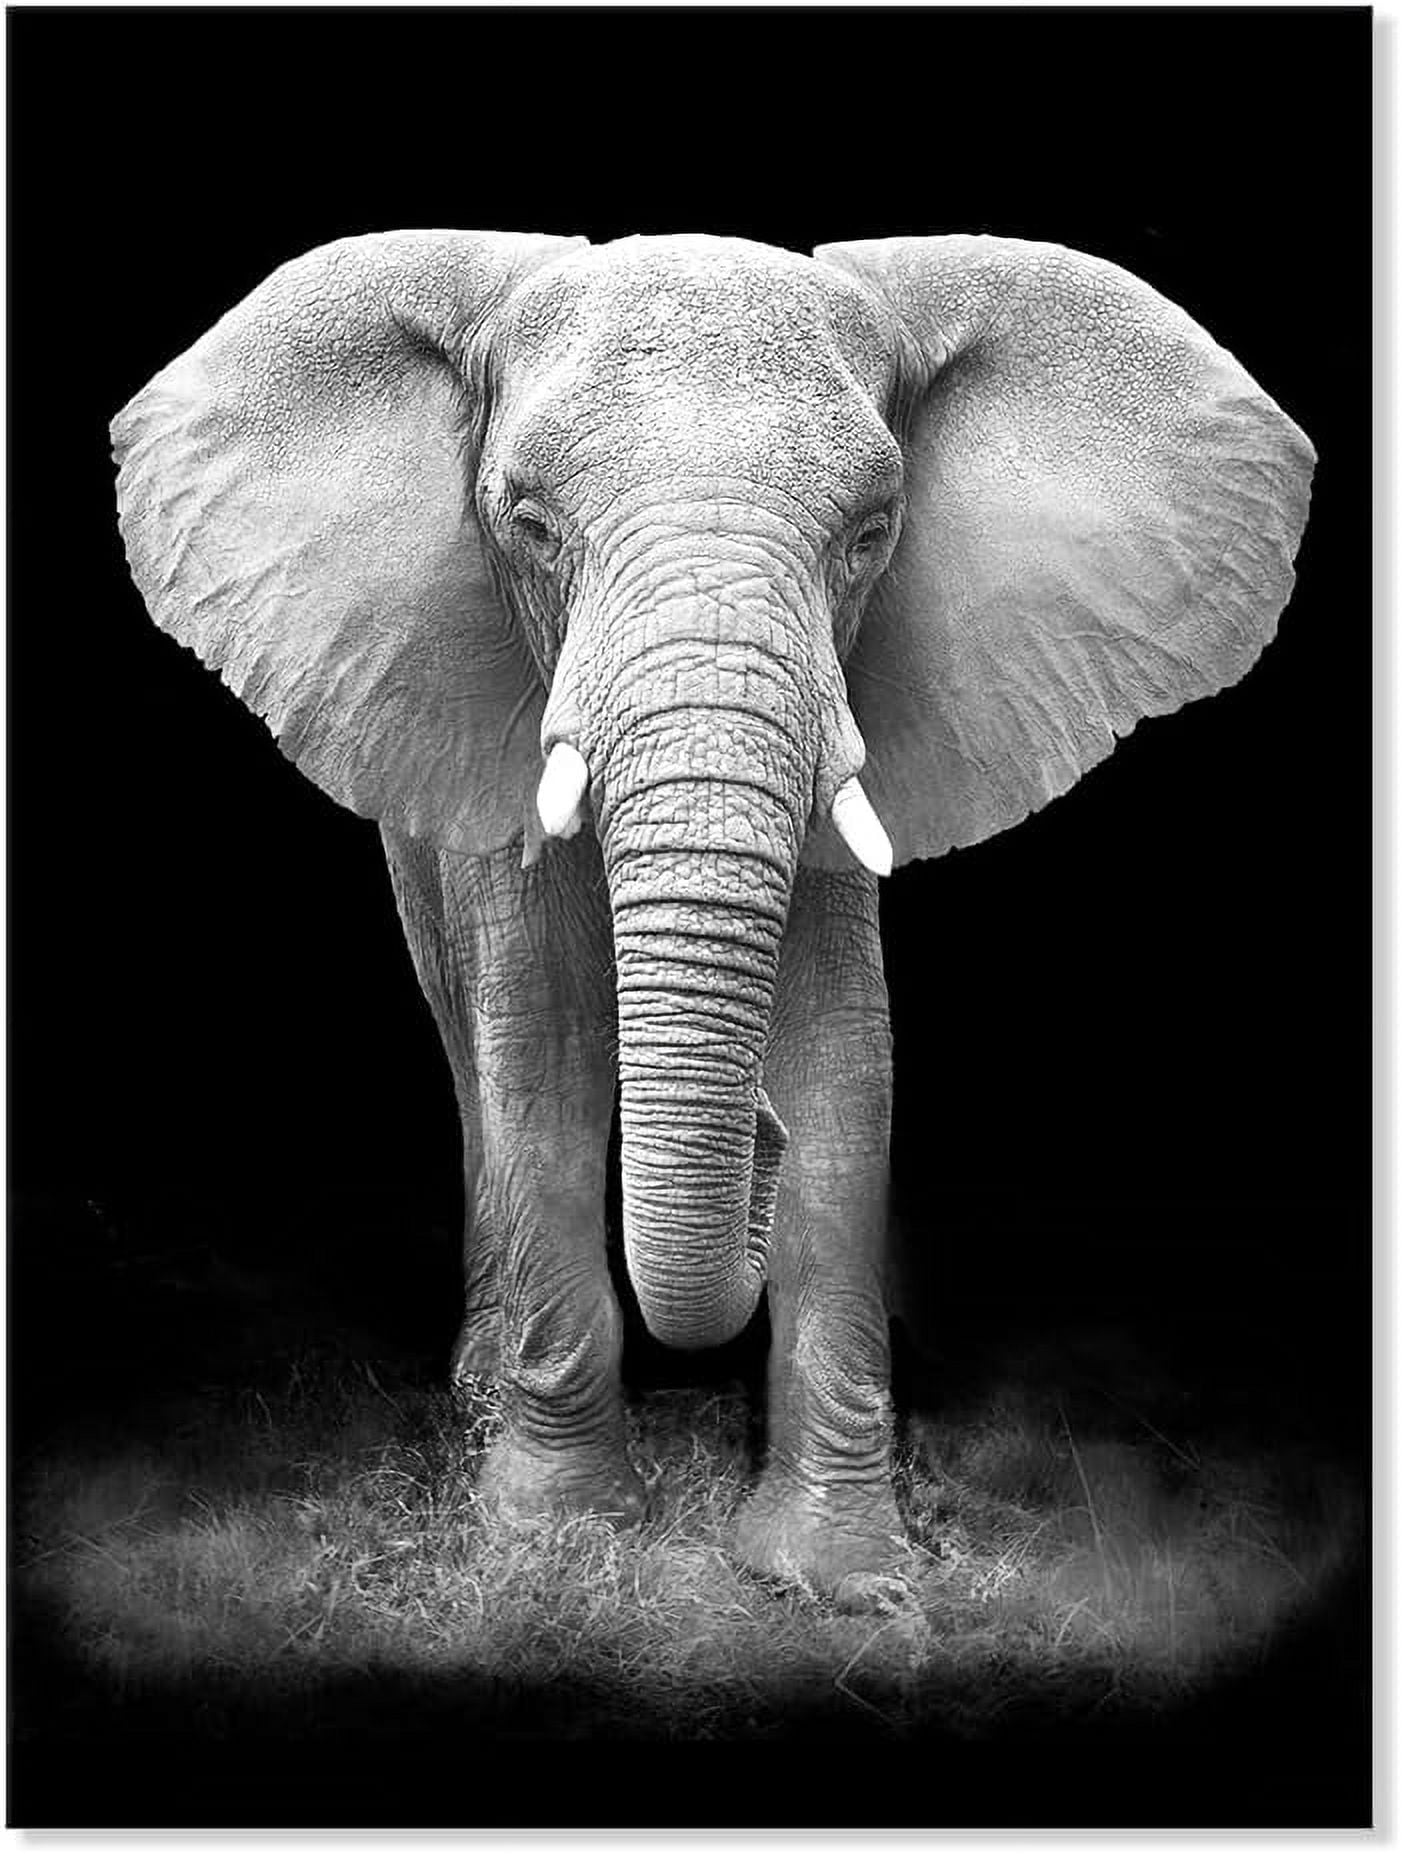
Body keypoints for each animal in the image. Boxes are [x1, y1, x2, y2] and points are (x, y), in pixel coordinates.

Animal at [112, 230, 1313, 1600]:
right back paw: (478, 1399)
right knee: (473, 1045)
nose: (755, 1140)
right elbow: (545, 1055)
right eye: (528, 526)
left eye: (871, 534)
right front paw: (561, 1538)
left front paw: (836, 1575)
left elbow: (845, 1062)